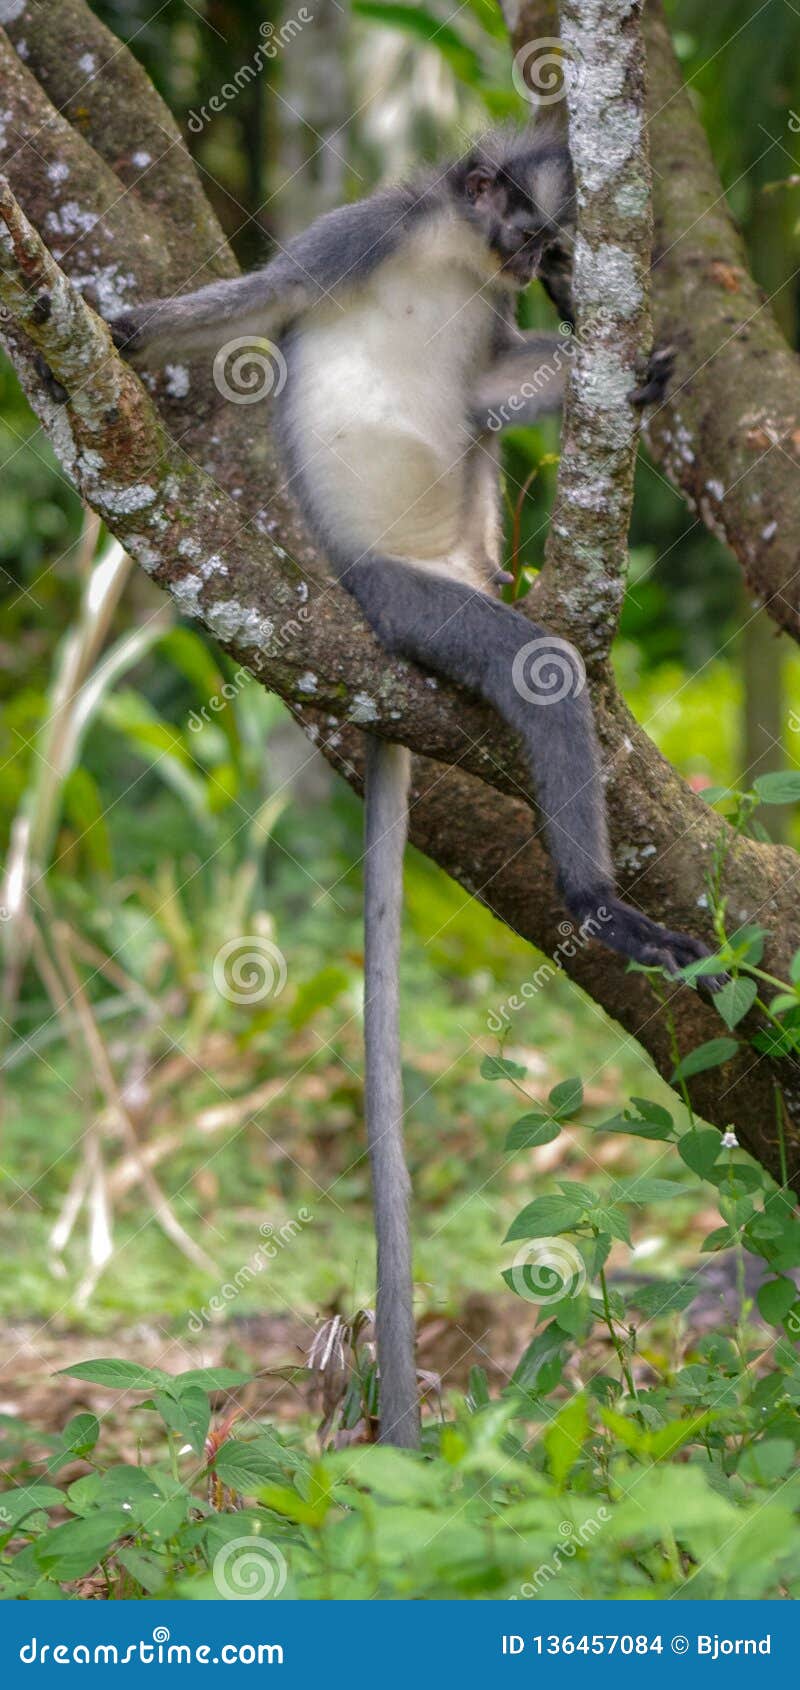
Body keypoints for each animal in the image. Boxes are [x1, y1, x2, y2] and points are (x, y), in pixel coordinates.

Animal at [109, 124, 717, 1450]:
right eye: (526, 230)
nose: (539, 264)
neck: (451, 247)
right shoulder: (367, 229)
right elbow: (256, 301)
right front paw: (112, 328)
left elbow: (489, 391)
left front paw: (630, 370)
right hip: (404, 601)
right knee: (536, 670)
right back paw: (591, 897)